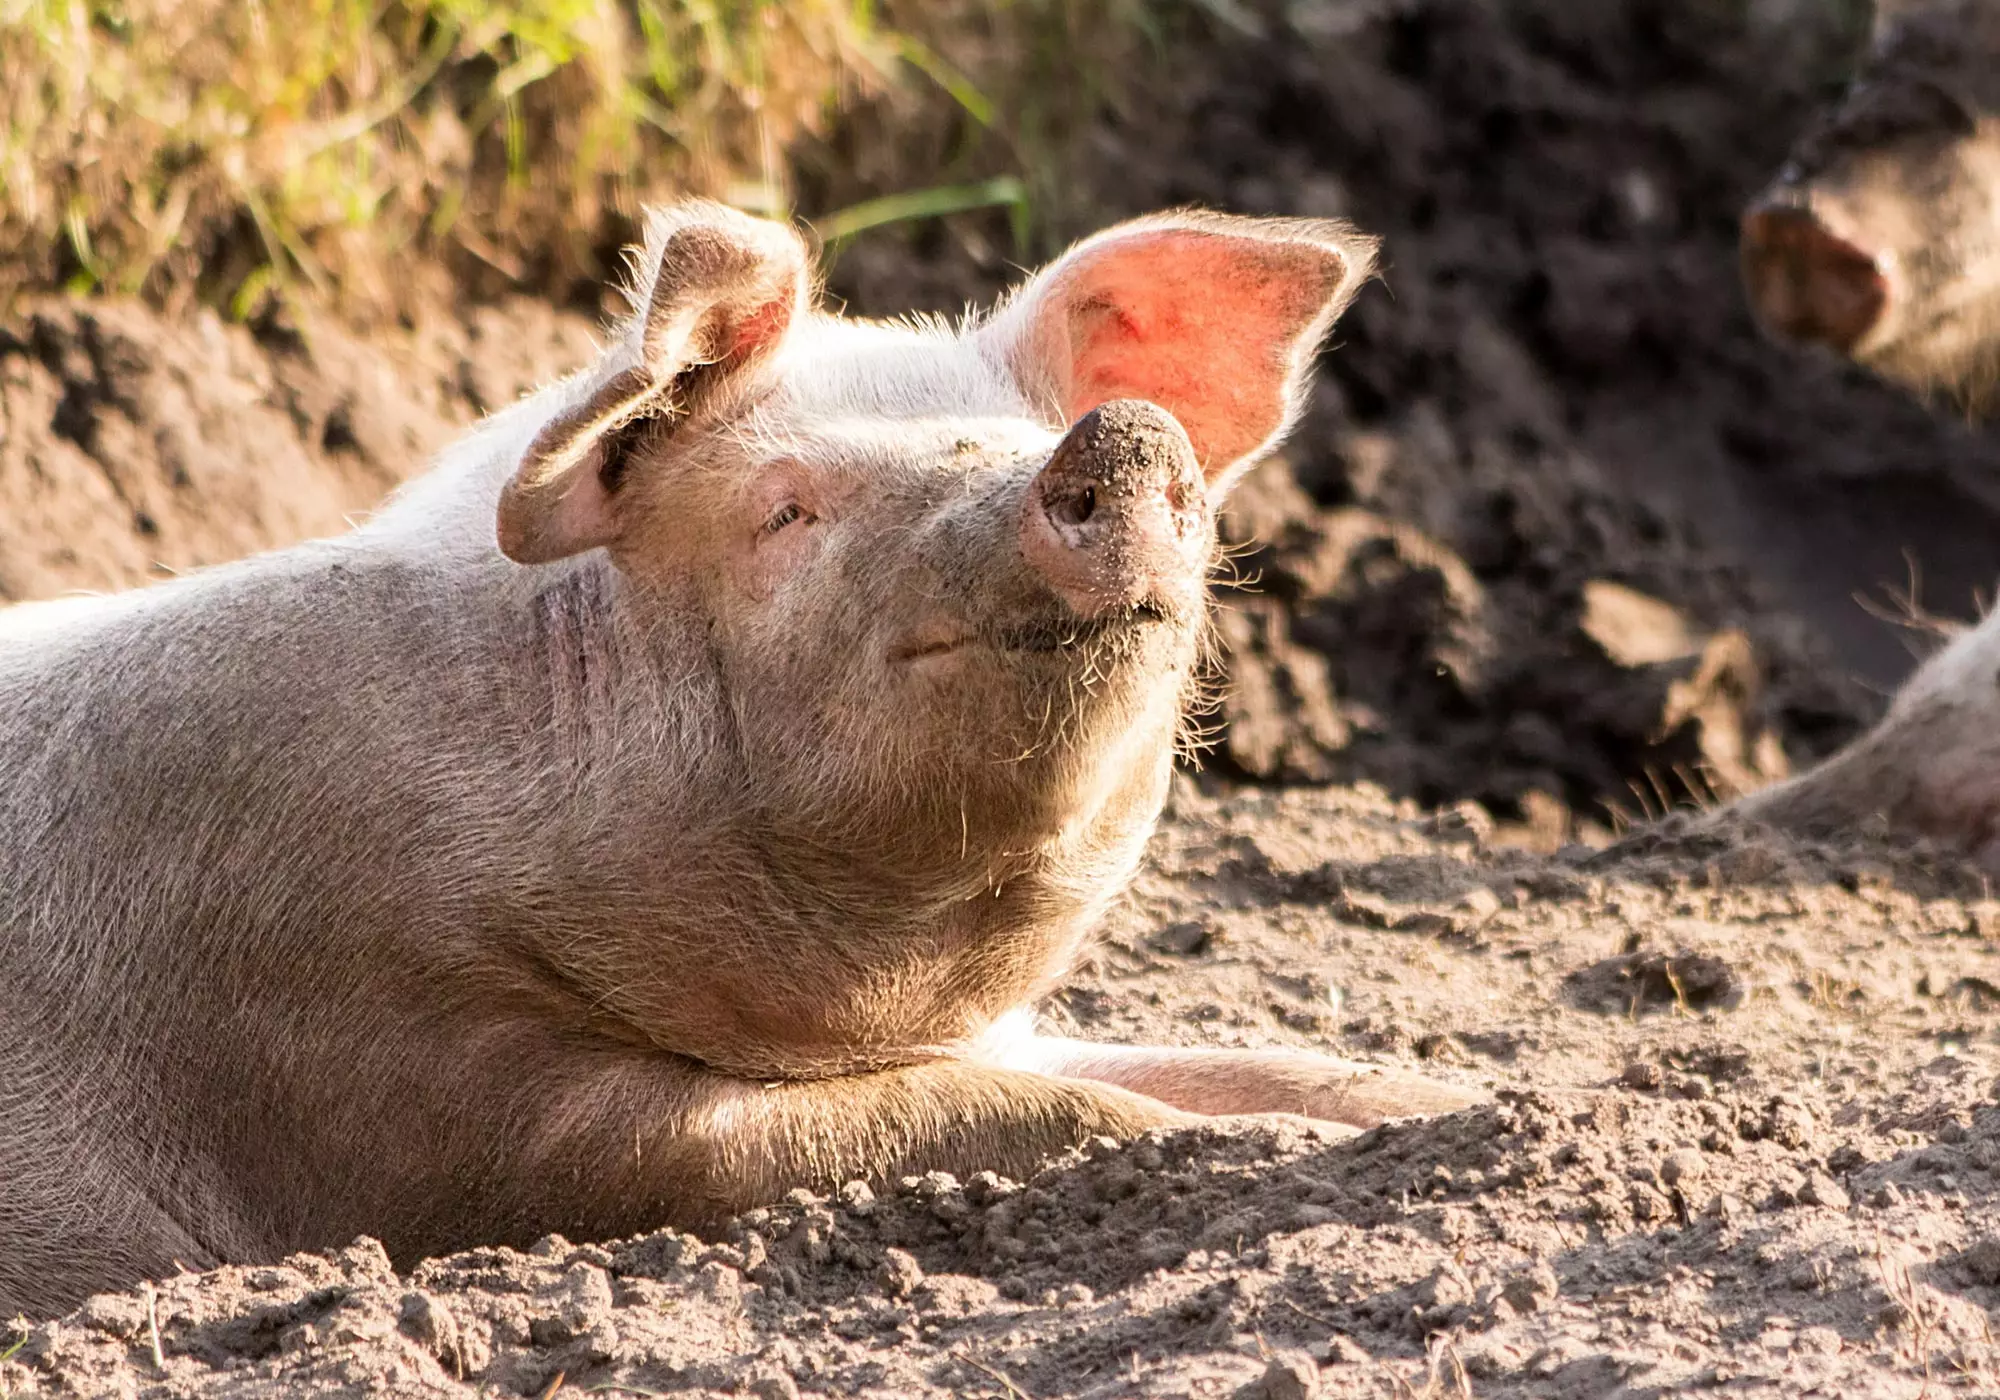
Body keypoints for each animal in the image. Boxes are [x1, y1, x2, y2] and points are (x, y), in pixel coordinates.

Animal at [0, 202, 1480, 1320]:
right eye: (785, 511)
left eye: (1026, 434)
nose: (1119, 433)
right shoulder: (403, 1077)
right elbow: (984, 1112)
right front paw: (1282, 1148)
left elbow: (1250, 1063)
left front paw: (1469, 1104)